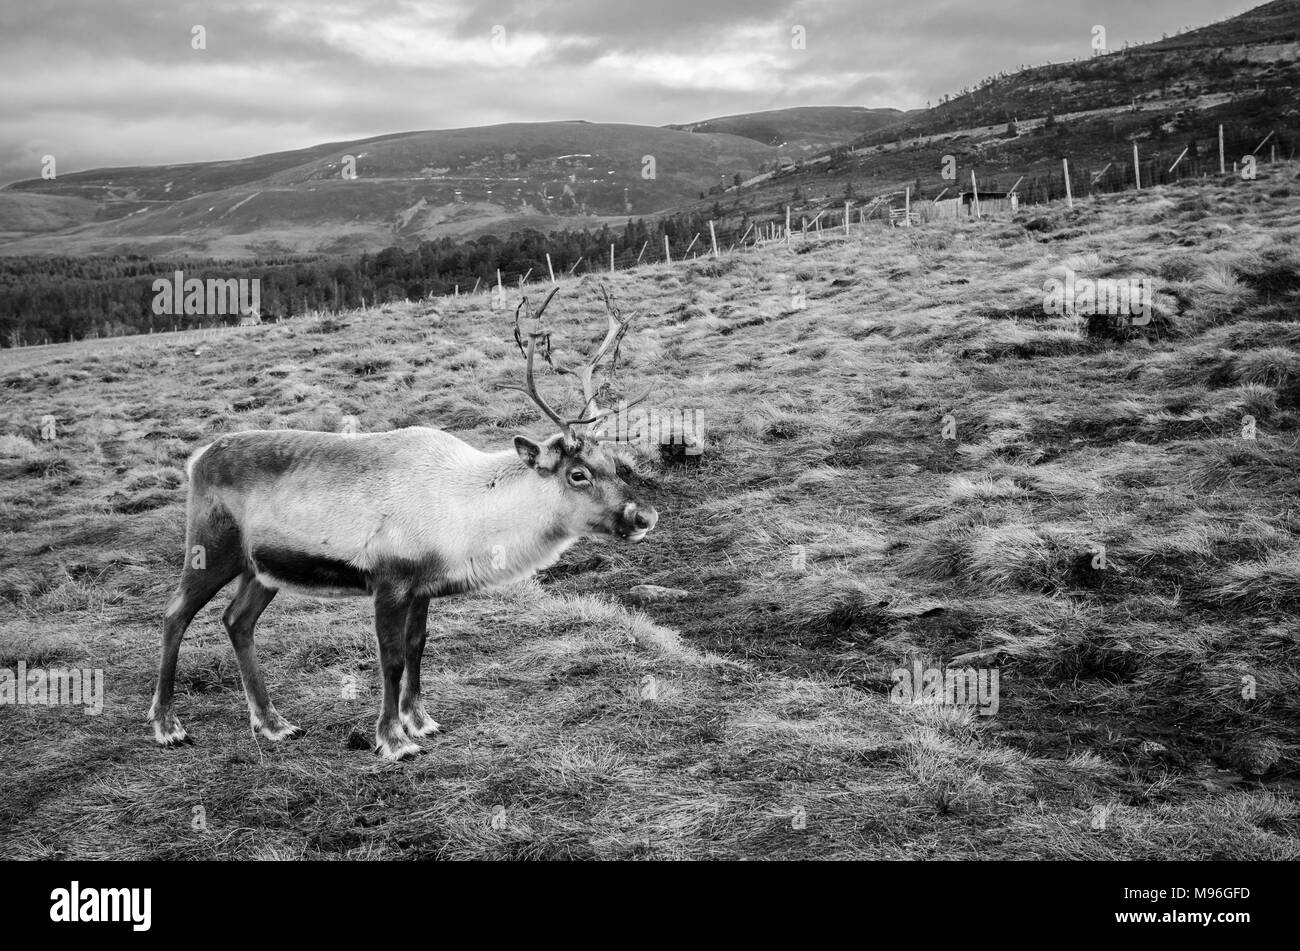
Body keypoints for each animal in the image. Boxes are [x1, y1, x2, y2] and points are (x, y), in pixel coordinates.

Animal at [148, 285, 659, 760]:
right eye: (578, 474)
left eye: (614, 464)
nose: (645, 515)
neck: (466, 507)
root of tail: (197, 458)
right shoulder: (388, 582)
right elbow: (390, 659)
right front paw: (393, 739)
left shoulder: (422, 586)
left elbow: (417, 647)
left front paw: (420, 720)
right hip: (211, 548)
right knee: (175, 614)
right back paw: (168, 725)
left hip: (262, 569)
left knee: (237, 621)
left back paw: (273, 723)